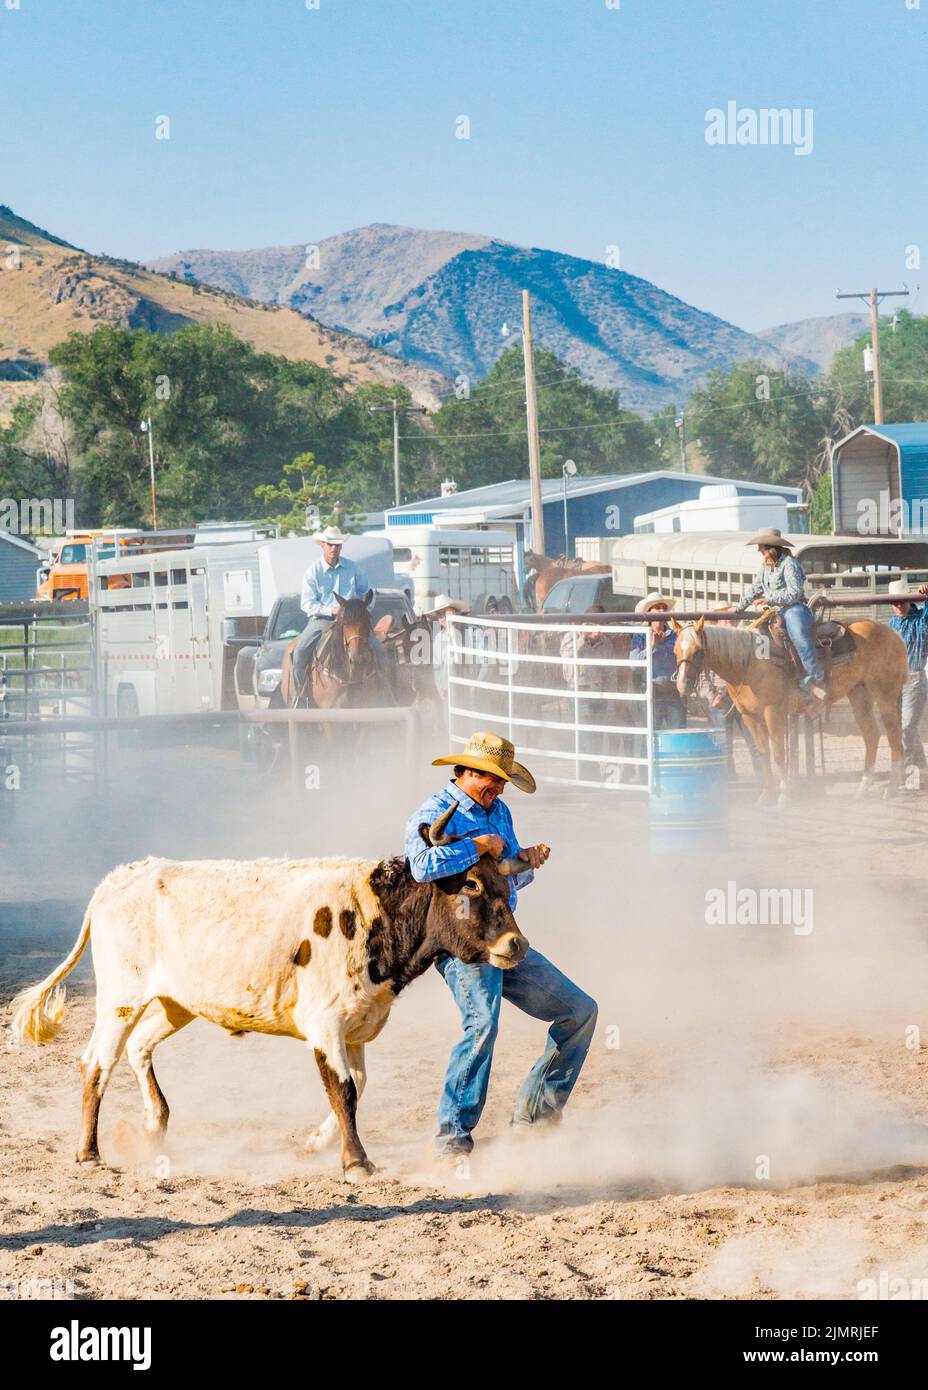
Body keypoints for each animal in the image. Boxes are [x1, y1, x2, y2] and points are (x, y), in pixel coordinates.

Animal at [672, 614, 908, 806]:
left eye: (697, 651)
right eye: (675, 650)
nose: (682, 685)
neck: (750, 663)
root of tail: (893, 633)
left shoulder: (773, 711)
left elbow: (778, 753)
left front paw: (784, 795)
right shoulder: (750, 717)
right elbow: (763, 753)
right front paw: (766, 794)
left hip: (885, 695)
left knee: (895, 738)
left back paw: (891, 788)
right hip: (859, 693)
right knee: (872, 735)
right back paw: (863, 788)